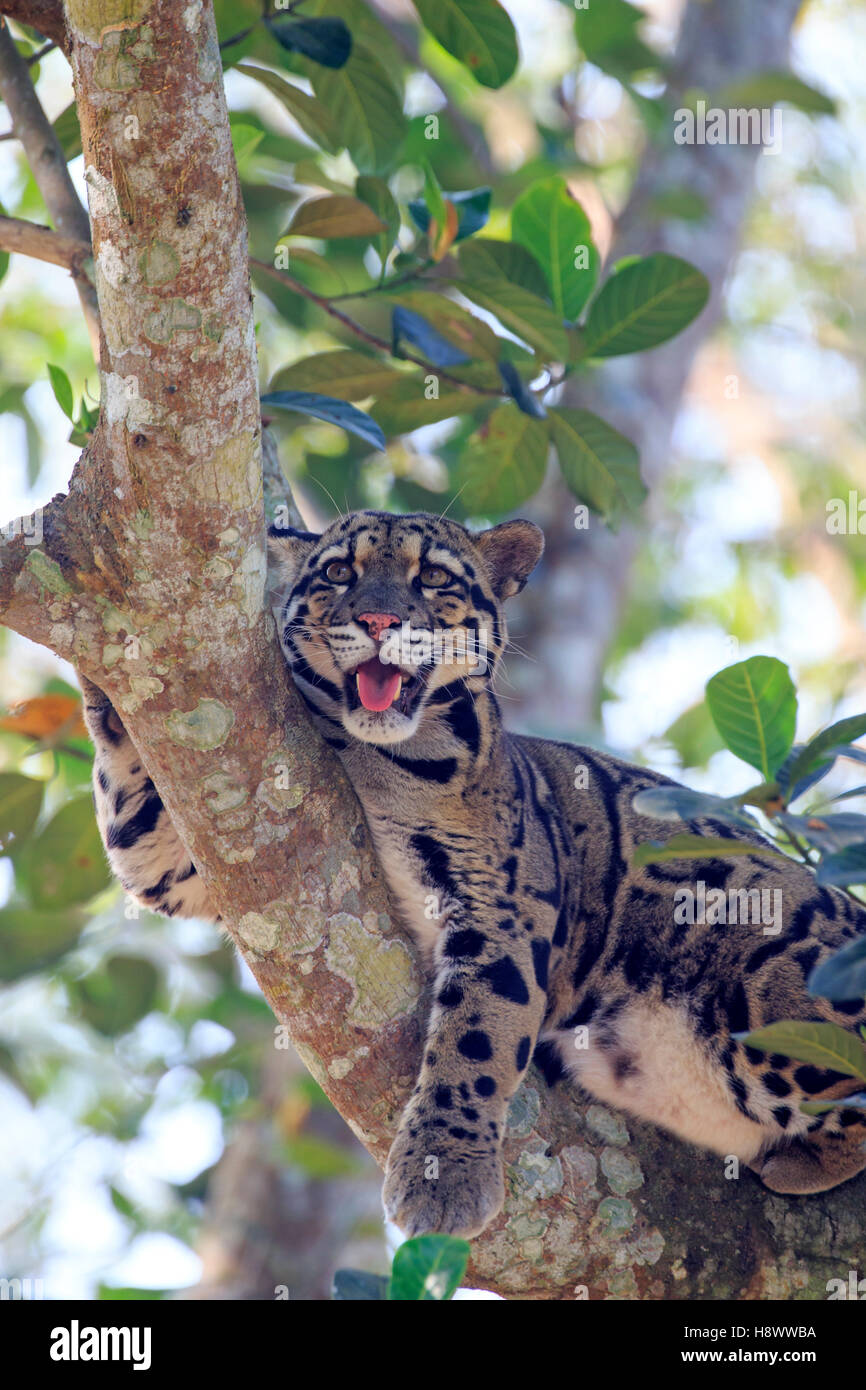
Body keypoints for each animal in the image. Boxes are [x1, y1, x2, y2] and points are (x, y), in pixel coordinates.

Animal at [81, 508, 866, 1239]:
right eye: (338, 573)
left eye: (433, 578)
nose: (378, 619)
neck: (370, 753)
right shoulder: (205, 846)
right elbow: (135, 822)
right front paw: (106, 654)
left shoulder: (499, 905)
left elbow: (474, 1039)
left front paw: (444, 1175)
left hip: (766, 974)